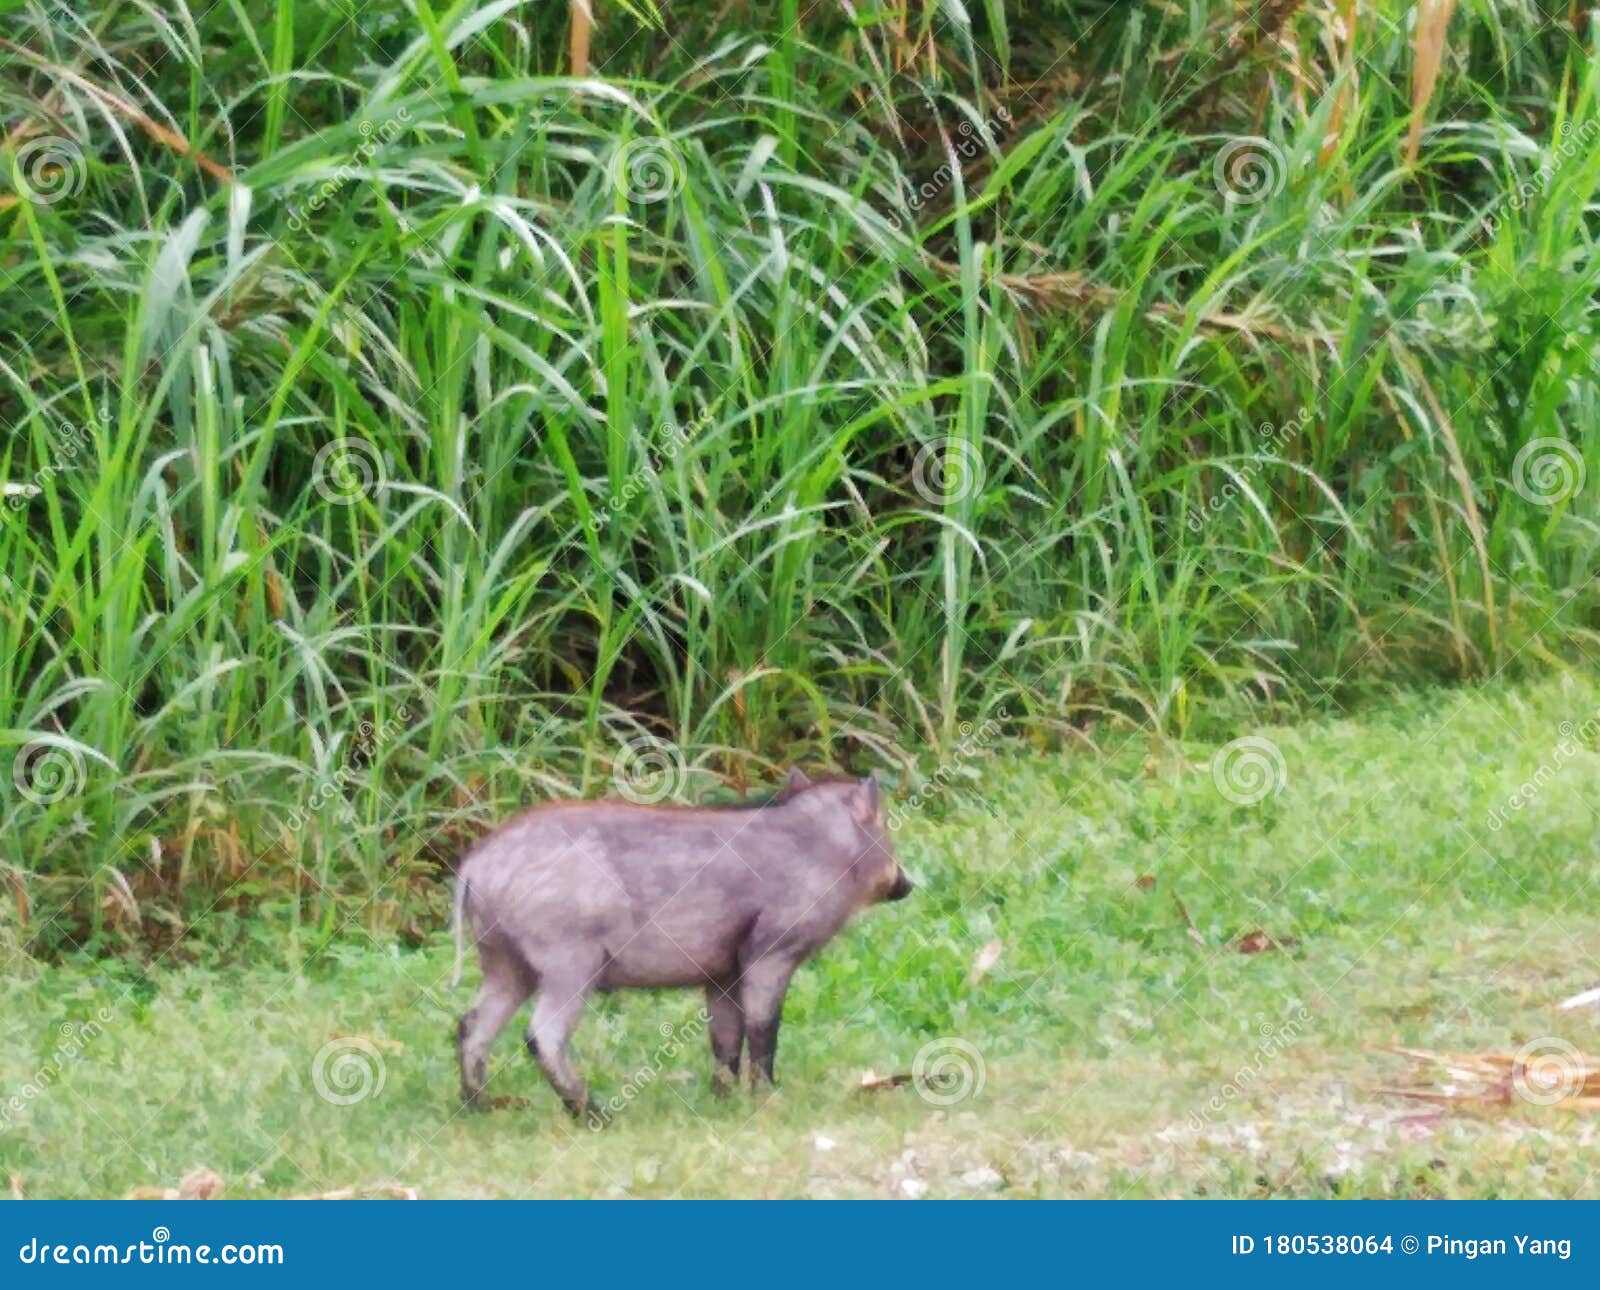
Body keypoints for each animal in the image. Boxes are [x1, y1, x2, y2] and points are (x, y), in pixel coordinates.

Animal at [451, 768, 912, 1117]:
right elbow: (764, 1030)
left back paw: (482, 1108)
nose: (906, 885)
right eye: (885, 825)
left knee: (471, 1026)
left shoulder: (722, 974)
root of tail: (475, 866)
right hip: (570, 964)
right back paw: (593, 1113)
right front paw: (769, 1100)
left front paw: (723, 1101)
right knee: (540, 1035)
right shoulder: (771, 954)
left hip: (505, 965)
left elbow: (725, 1040)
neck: (823, 849)